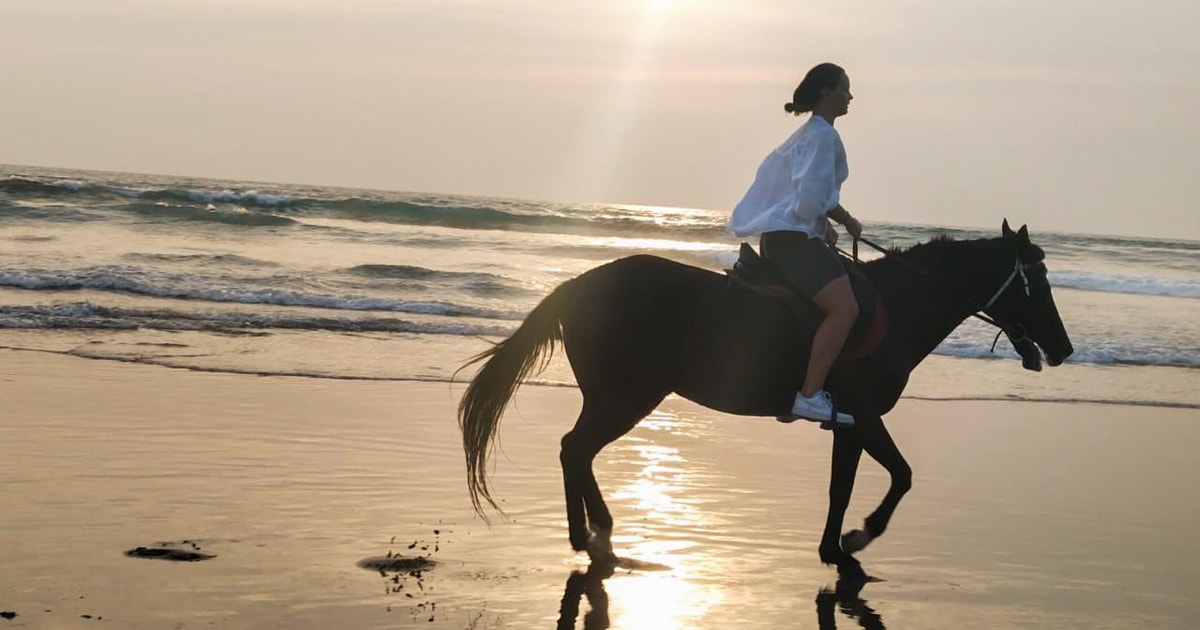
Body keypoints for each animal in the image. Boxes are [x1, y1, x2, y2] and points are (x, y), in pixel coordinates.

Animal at [457, 220, 1073, 582]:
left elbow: (866, 481)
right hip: (630, 395)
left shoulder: (852, 422)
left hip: (611, 394)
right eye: (1037, 281)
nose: (1063, 348)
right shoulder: (861, 417)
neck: (899, 308)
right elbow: (888, 478)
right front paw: (853, 539)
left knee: (574, 450)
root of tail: (578, 285)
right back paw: (596, 536)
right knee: (576, 449)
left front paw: (840, 544)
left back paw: (591, 534)